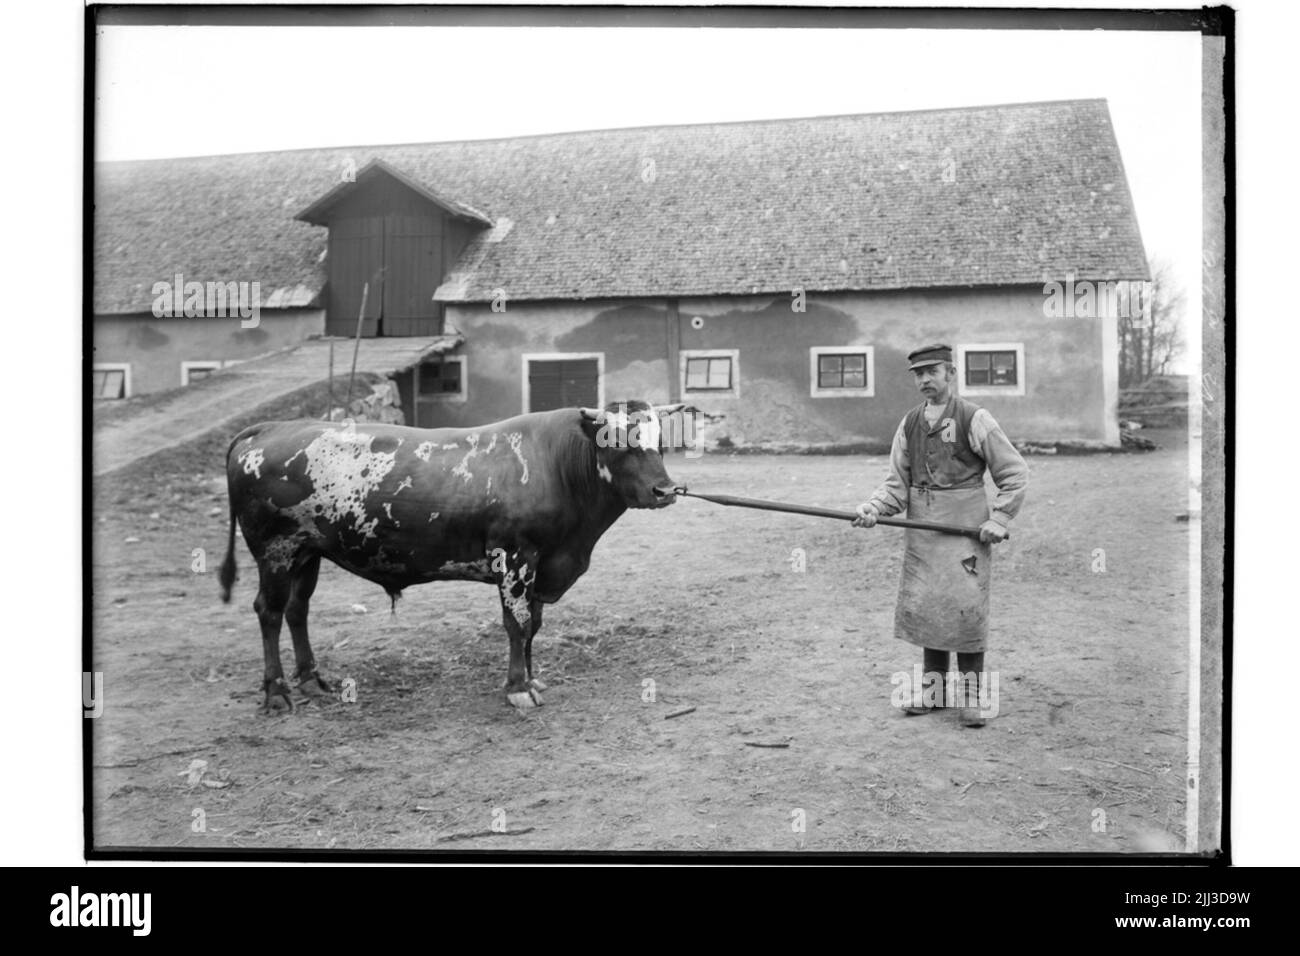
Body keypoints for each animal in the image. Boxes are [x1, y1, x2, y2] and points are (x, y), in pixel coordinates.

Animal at [219, 400, 682, 714]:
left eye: (659, 442)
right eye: (618, 443)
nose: (665, 490)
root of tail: (266, 428)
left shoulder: (540, 566)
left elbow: (533, 627)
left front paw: (532, 680)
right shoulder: (515, 559)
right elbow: (518, 625)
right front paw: (517, 687)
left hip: (307, 552)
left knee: (297, 610)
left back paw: (311, 679)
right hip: (275, 550)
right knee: (269, 612)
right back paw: (276, 691)